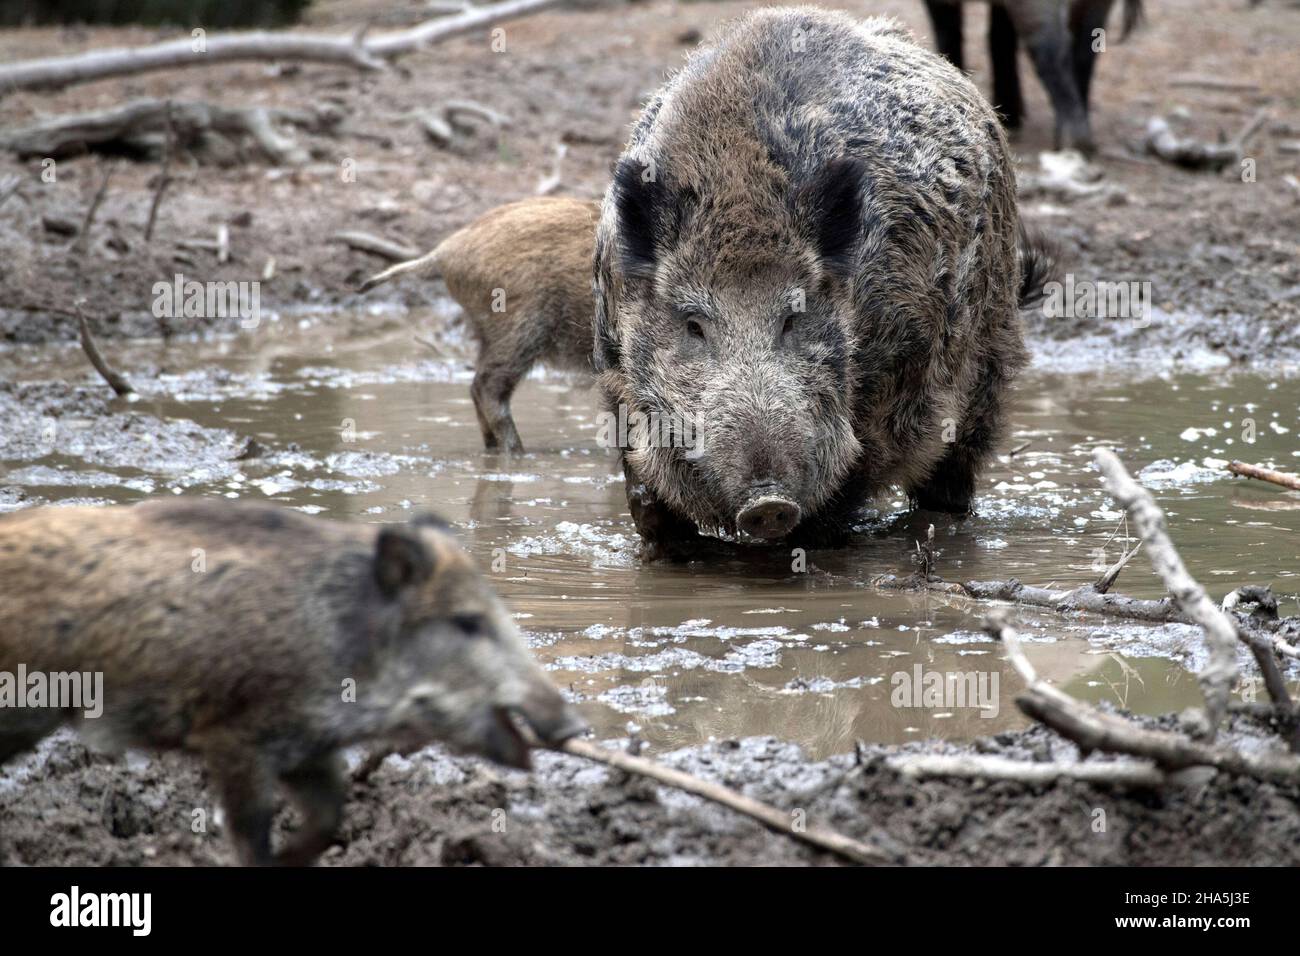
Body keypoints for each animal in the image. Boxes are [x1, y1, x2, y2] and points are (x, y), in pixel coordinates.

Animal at [0, 500, 586, 865]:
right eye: (467, 622)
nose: (573, 725)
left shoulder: (308, 745)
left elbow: (330, 816)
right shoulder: (234, 736)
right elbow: (250, 833)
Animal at [359, 196, 601, 454]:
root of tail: (444, 251)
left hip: (495, 332)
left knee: (477, 387)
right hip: (519, 328)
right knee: (487, 387)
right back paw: (516, 451)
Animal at [593, 7, 1054, 557]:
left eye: (794, 317)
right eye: (693, 325)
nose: (768, 503)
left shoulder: (897, 380)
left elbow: (849, 479)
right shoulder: (614, 369)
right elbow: (646, 492)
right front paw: (671, 555)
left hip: (989, 352)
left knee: (955, 468)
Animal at [923, 0, 1143, 154]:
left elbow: (949, 32)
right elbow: (1000, 38)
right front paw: (1010, 118)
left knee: (1052, 51)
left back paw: (1071, 143)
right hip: (1096, 7)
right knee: (1084, 54)